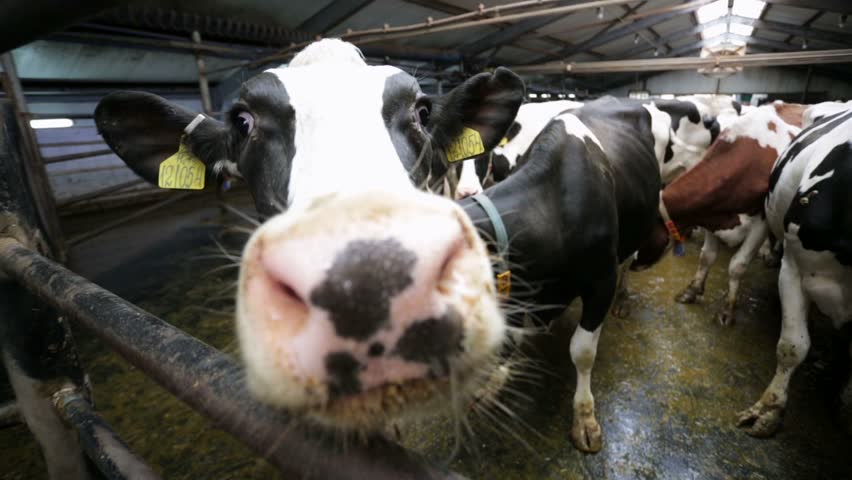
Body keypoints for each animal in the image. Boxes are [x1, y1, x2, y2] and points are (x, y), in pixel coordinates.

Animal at [459, 96, 661, 452]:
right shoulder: (517, 286)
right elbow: (509, 338)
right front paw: (490, 385)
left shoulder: (601, 282)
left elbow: (582, 350)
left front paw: (584, 419)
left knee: (627, 264)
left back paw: (624, 300)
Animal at [634, 102, 805, 325]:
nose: (631, 264)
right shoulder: (711, 215)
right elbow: (706, 257)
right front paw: (692, 291)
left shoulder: (761, 222)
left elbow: (737, 266)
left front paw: (727, 310)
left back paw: (770, 253)